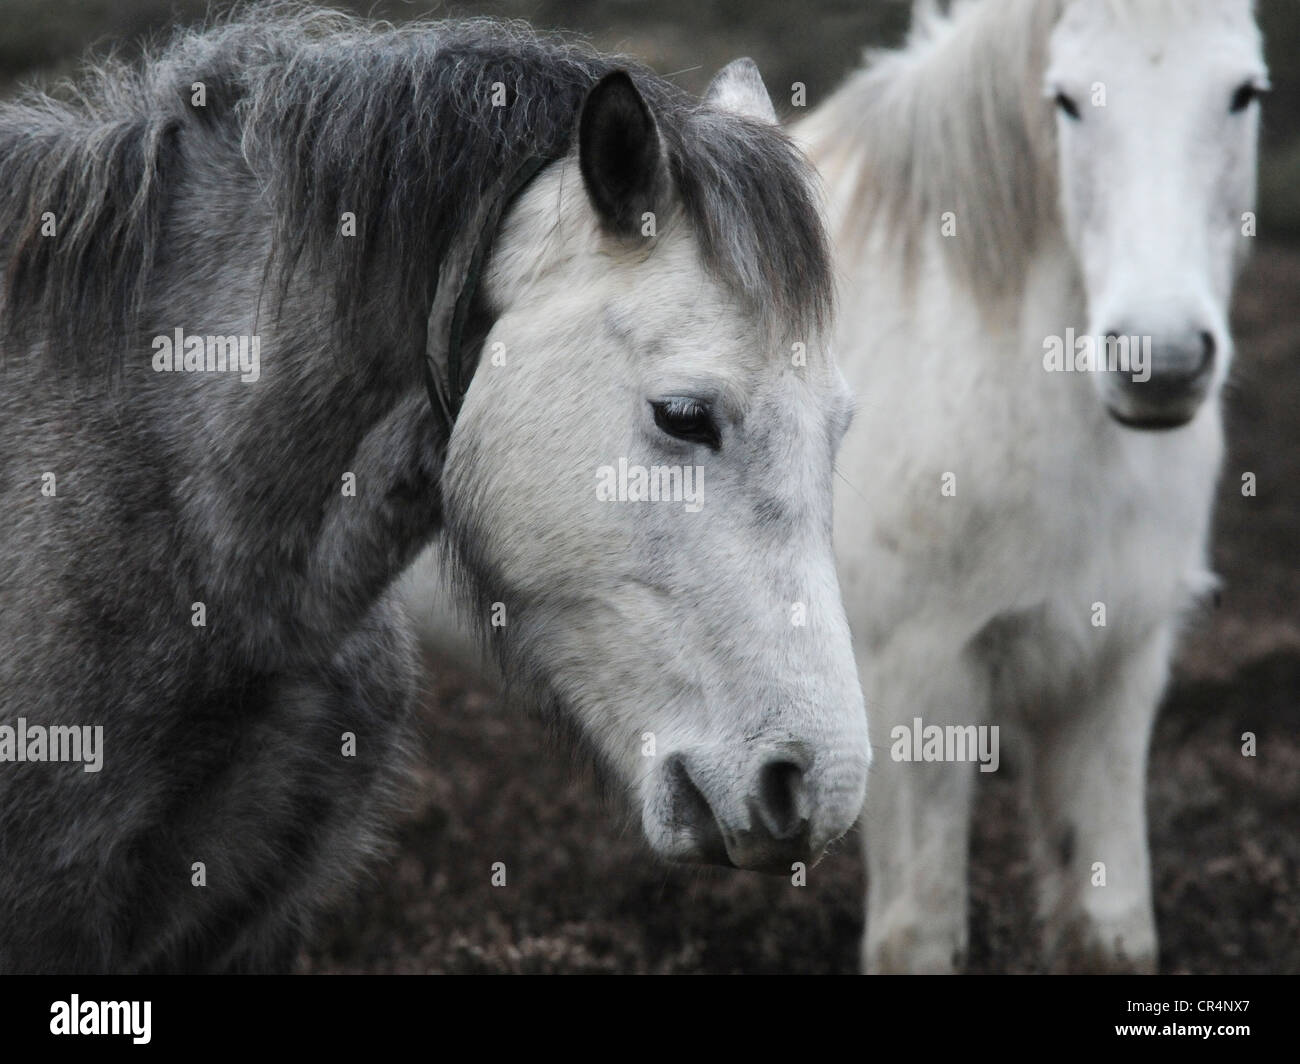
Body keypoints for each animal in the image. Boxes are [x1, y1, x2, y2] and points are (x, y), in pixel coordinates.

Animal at [795, 0, 1266, 972]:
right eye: (1067, 101)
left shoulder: (1117, 668)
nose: (1160, 364)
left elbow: (1110, 926)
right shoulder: (917, 684)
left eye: (1243, 92)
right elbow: (918, 934)